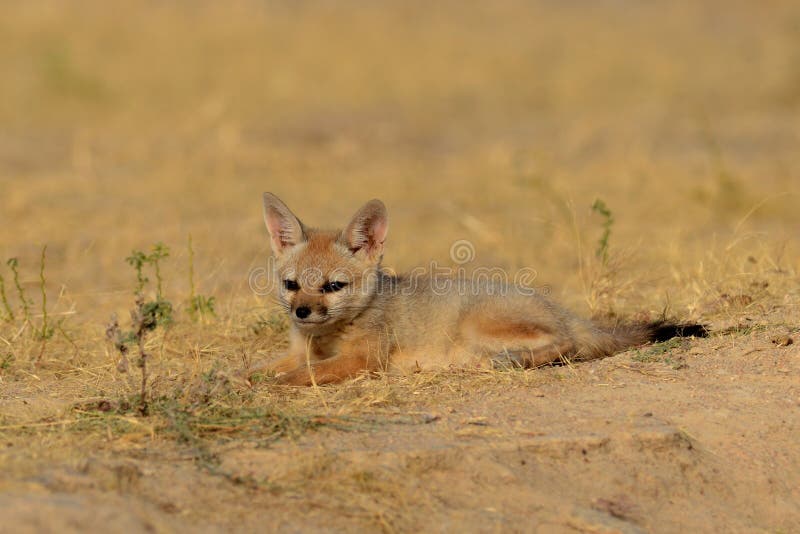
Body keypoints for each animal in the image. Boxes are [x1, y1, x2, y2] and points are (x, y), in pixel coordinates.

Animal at [255, 192, 706, 386]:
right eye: (291, 285)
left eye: (334, 286)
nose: (302, 313)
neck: (325, 338)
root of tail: (566, 311)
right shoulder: (298, 351)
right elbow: (262, 368)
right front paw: (241, 379)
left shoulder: (363, 359)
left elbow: (303, 374)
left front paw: (270, 385)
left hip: (478, 324)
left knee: (567, 345)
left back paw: (503, 362)